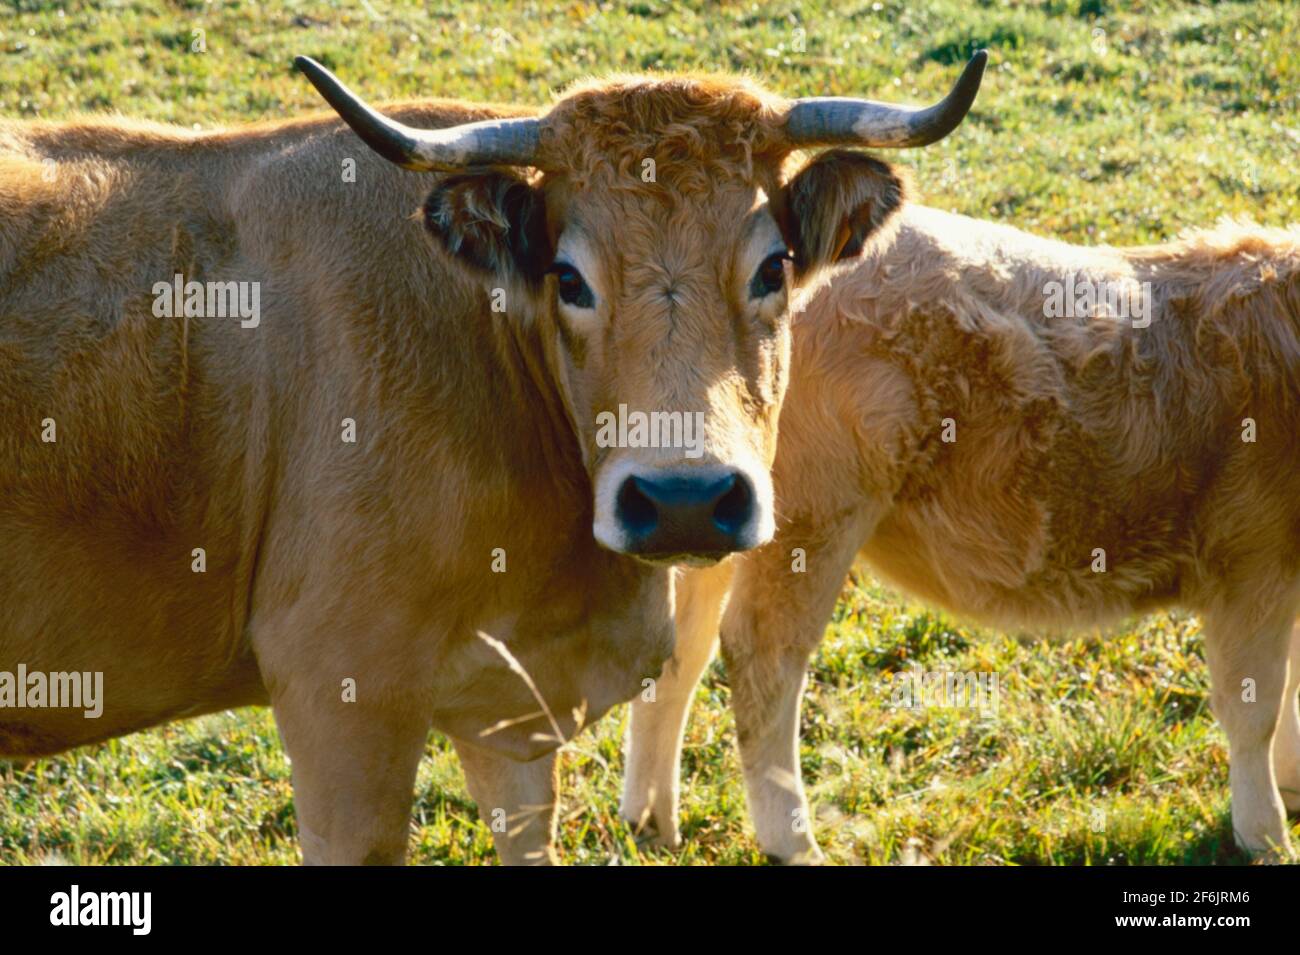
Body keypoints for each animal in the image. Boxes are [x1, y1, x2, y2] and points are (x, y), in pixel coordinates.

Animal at [621, 202, 1300, 863]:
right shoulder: (1250, 567)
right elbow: (1254, 709)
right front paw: (1265, 836)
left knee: (681, 649)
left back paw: (650, 821)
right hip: (813, 515)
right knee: (762, 653)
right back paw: (792, 843)